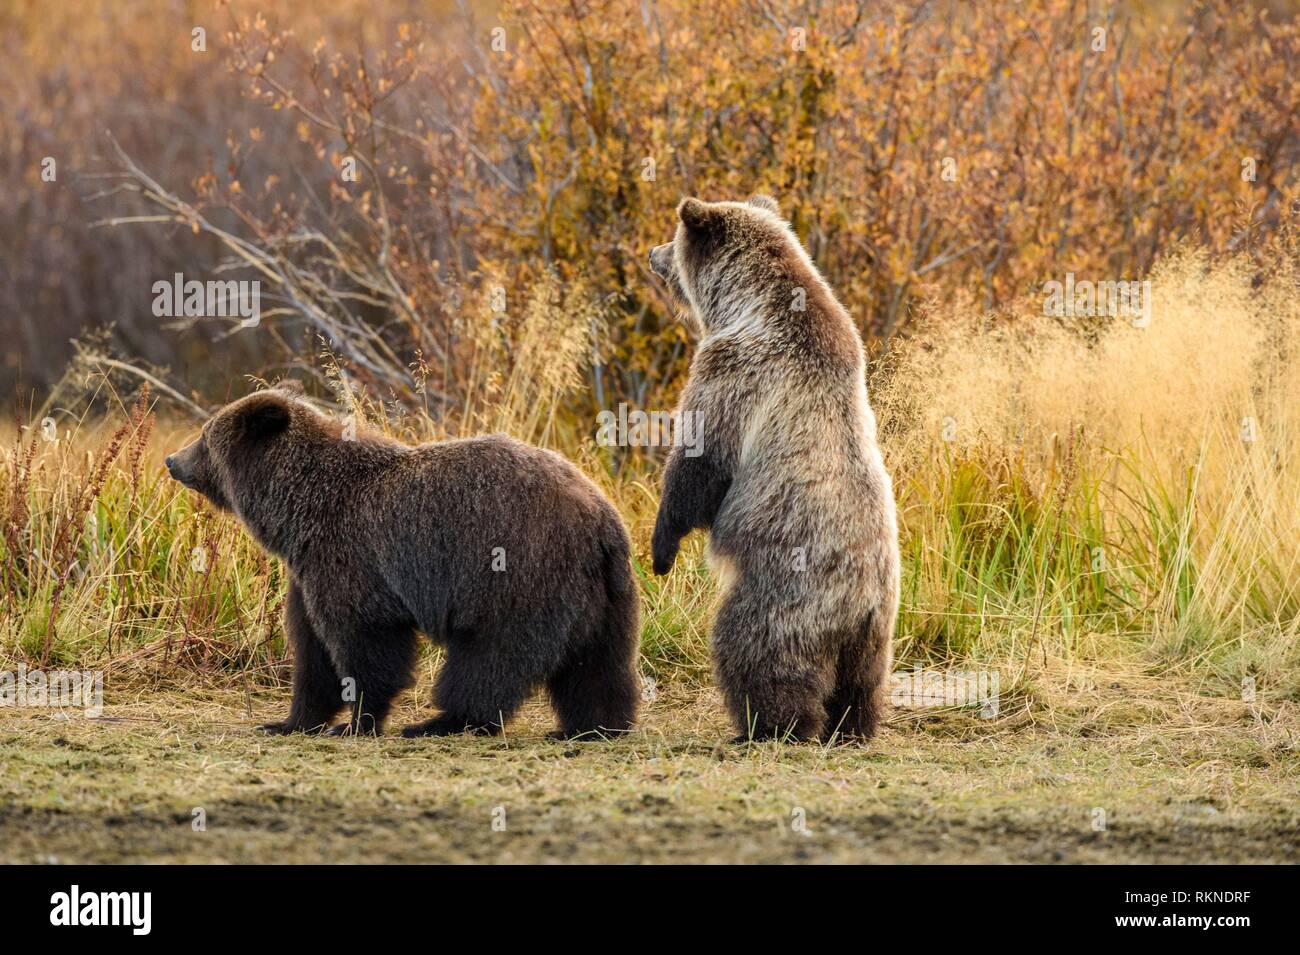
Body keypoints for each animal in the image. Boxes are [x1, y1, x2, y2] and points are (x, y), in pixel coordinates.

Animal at [165, 384, 640, 739]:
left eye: (204, 437)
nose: (172, 460)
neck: (299, 515)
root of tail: (602, 518)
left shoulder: (352, 561)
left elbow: (366, 646)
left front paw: (357, 722)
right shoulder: (308, 574)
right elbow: (313, 654)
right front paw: (288, 721)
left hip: (518, 571)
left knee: (491, 656)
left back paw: (442, 721)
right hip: (603, 594)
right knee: (598, 664)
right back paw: (589, 727)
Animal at [647, 194, 900, 743]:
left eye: (672, 240)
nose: (652, 254)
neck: (746, 302)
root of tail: (860, 608)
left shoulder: (736, 371)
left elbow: (700, 464)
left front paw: (661, 547)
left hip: (781, 596)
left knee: (751, 648)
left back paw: (765, 726)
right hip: (877, 638)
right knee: (860, 684)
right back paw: (852, 727)